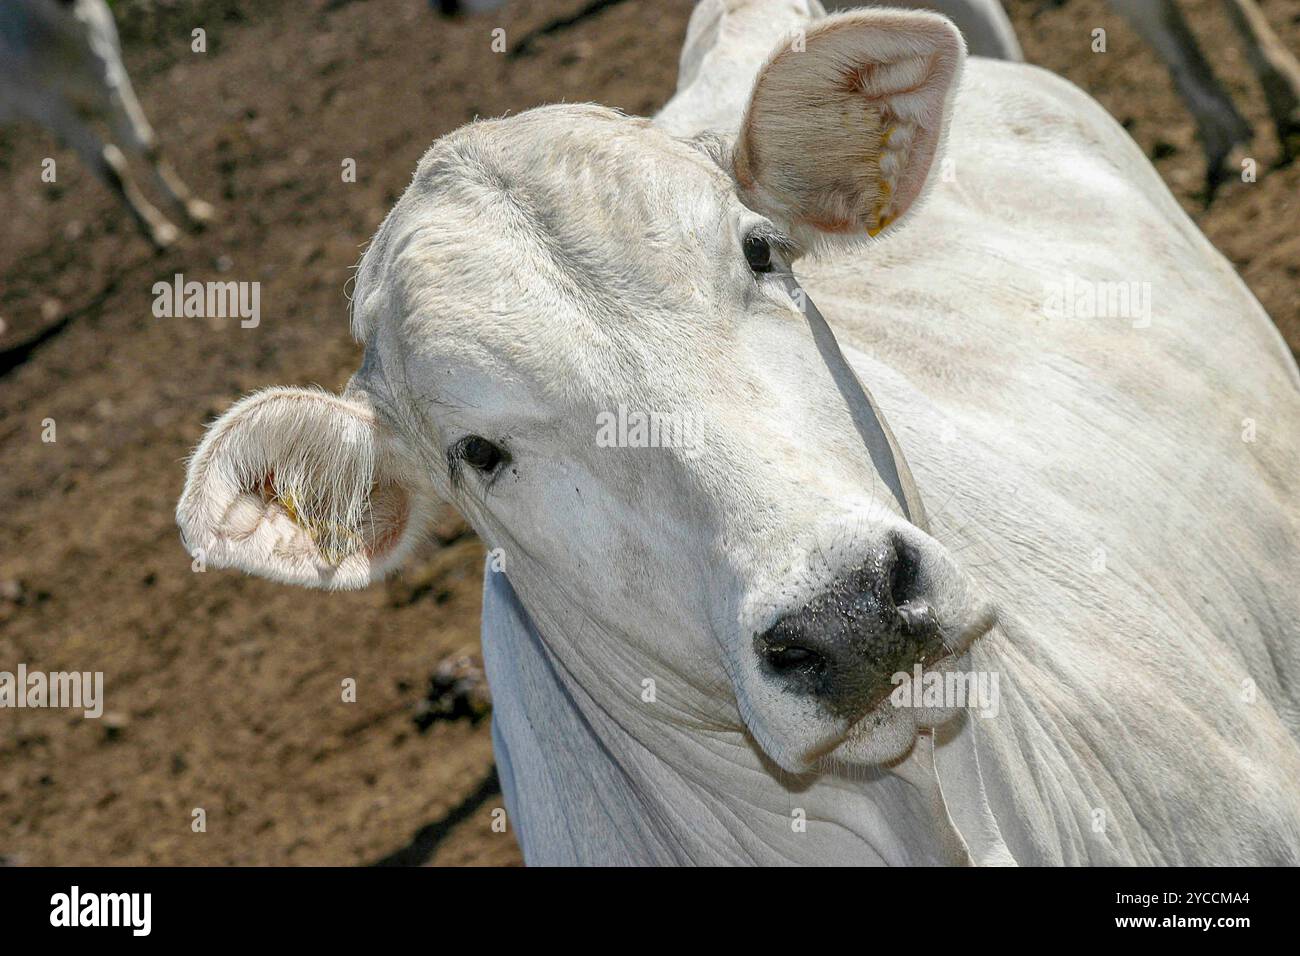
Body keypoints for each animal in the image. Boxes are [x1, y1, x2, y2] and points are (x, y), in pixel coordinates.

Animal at [0, 0, 212, 249]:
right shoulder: (52, 110)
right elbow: (111, 168)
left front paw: (193, 211)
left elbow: (147, 146)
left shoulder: (110, 79)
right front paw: (156, 231)